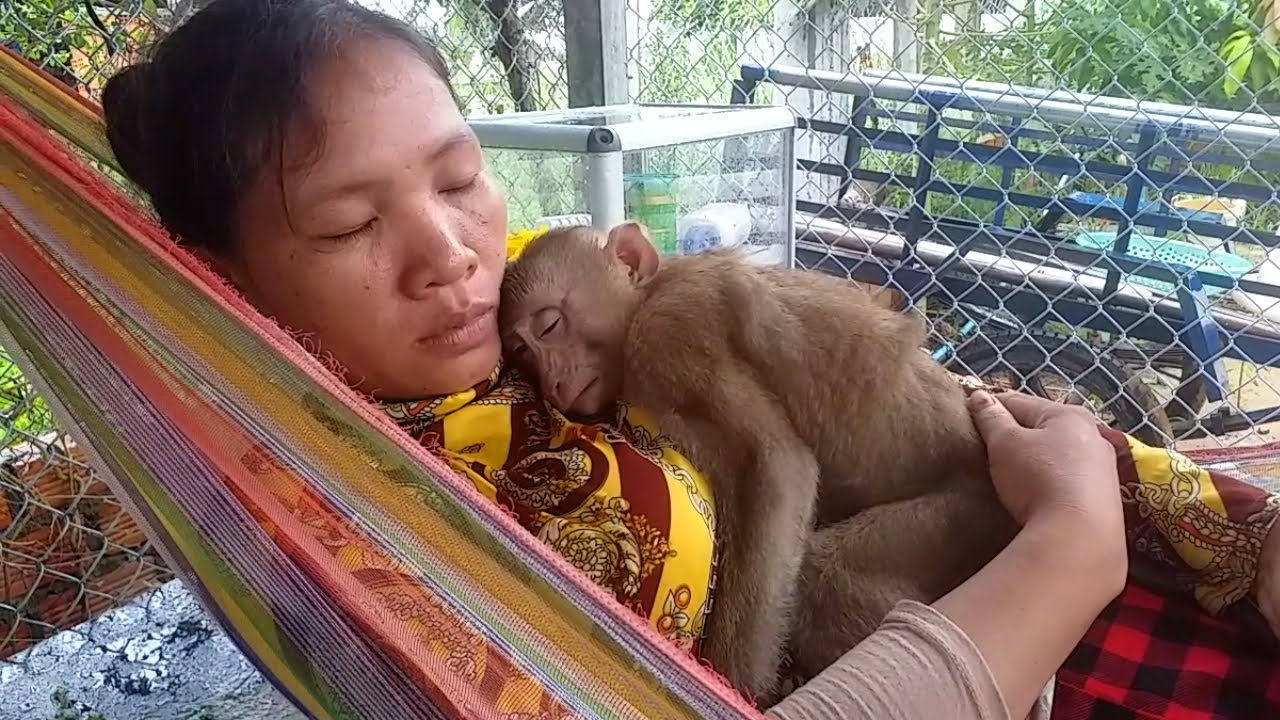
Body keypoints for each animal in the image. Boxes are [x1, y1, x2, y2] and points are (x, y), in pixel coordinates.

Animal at [498, 222, 1020, 704]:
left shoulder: (673, 328)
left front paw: (733, 682)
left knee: (825, 573)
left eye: (549, 326)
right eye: (525, 355)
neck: (650, 294)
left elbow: (779, 465)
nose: (554, 384)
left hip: (960, 519)